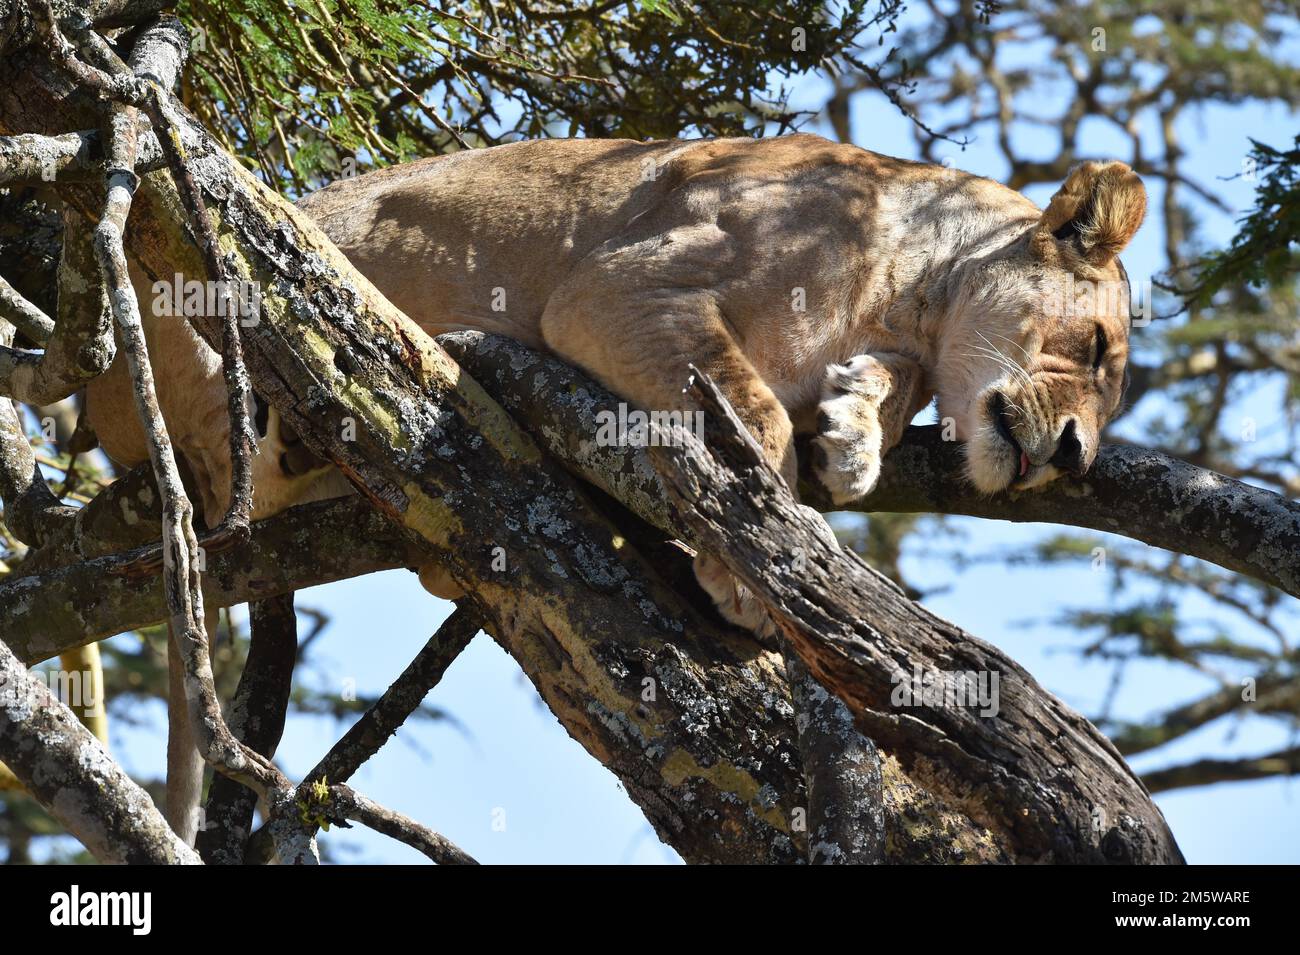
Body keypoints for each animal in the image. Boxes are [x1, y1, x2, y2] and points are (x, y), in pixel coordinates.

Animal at [84, 133, 1145, 840]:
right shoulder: (620, 287)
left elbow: (864, 406)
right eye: (1096, 347)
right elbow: (756, 423)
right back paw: (287, 442)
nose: (1075, 456)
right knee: (231, 463)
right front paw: (750, 563)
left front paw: (852, 436)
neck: (909, 295)